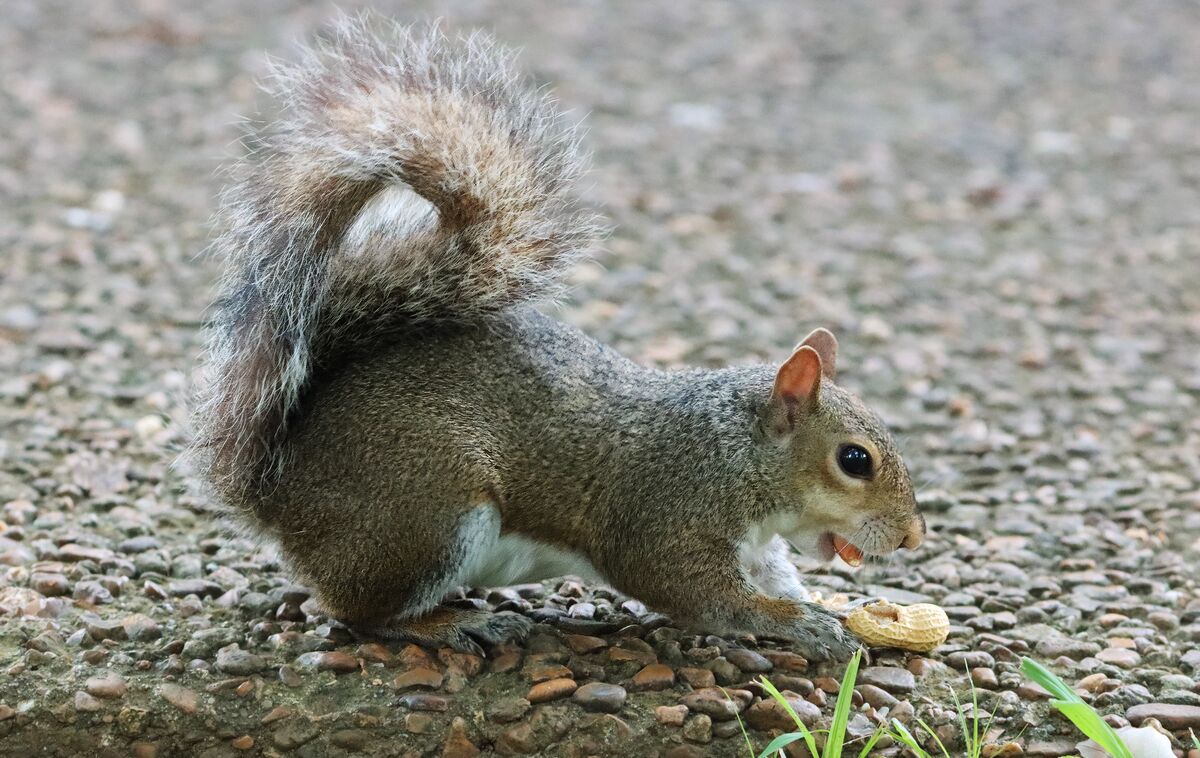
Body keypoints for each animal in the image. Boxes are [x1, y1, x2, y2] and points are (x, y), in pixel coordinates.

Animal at [188, 14, 925, 662]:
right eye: (854, 460)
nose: (913, 537)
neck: (736, 453)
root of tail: (278, 496)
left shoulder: (756, 545)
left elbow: (772, 577)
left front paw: (828, 609)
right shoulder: (666, 515)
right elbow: (701, 593)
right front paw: (796, 624)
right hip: (425, 510)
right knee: (356, 612)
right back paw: (451, 624)